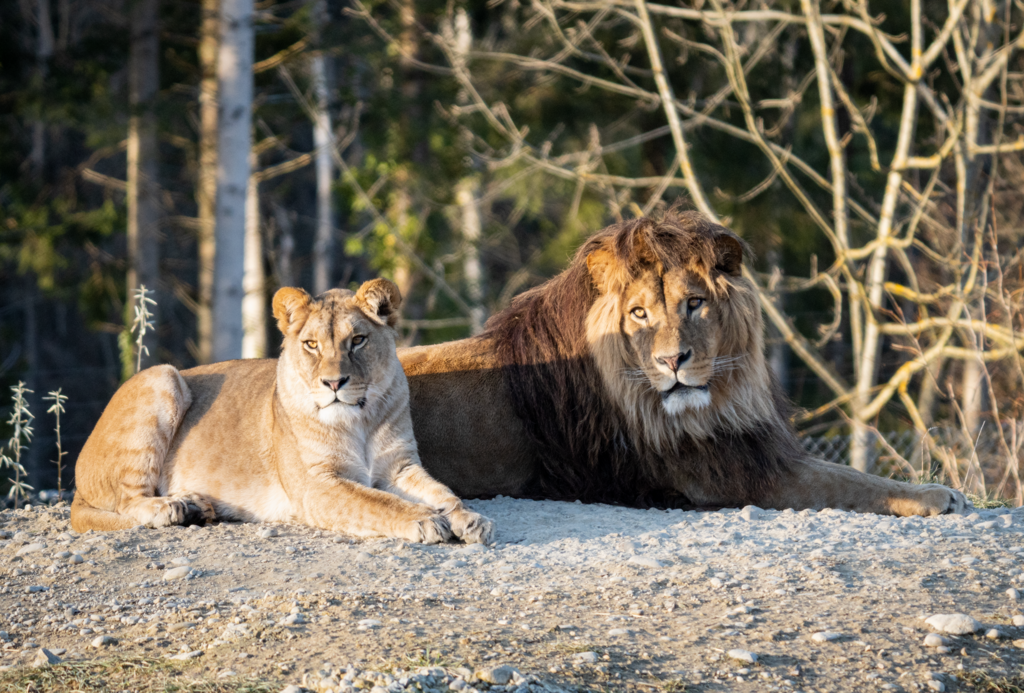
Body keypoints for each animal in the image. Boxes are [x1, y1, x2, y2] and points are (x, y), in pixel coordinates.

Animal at [70, 279, 494, 544]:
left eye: (357, 340)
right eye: (311, 344)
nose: (334, 383)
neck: (359, 419)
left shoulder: (401, 467)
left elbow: (443, 491)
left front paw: (470, 519)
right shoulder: (317, 485)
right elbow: (379, 503)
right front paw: (425, 519)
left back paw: (197, 506)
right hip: (163, 376)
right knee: (124, 503)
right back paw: (173, 508)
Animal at [399, 211, 969, 517]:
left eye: (694, 303)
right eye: (639, 313)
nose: (673, 360)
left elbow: (849, 472)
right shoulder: (733, 476)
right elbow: (853, 484)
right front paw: (934, 495)